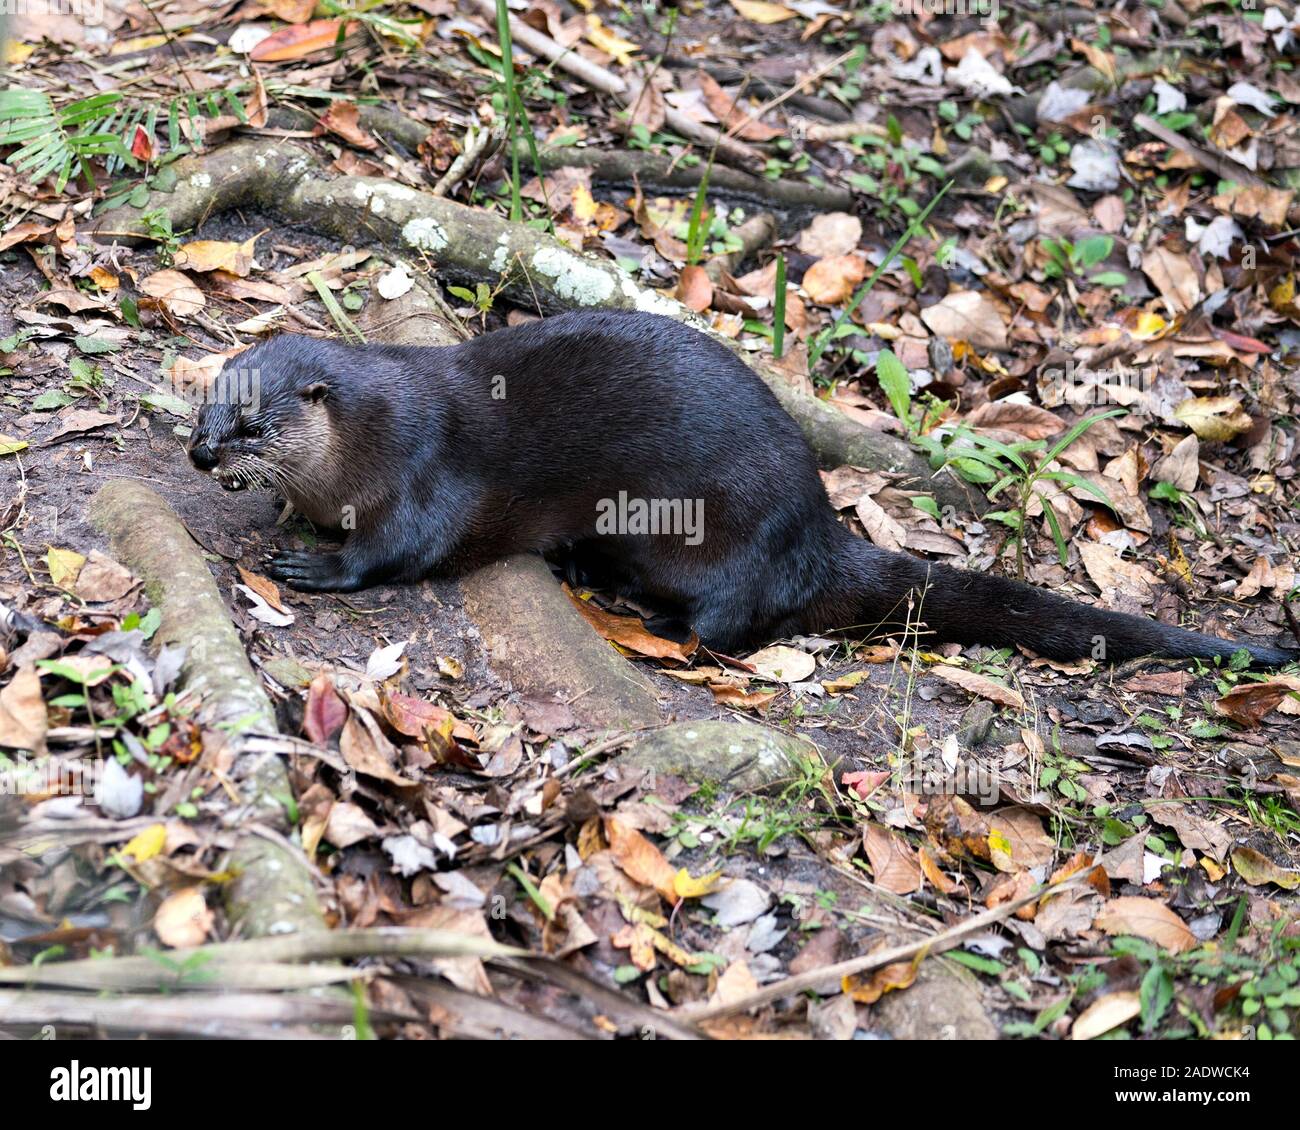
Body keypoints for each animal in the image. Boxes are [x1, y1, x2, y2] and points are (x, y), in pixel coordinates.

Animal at [188, 310, 1298, 666]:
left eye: (251, 423)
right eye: (202, 409)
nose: (203, 457)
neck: (366, 443)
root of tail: (818, 527)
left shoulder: (428, 474)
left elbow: (401, 550)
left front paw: (313, 563)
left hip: (734, 540)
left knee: (741, 623)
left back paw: (660, 619)